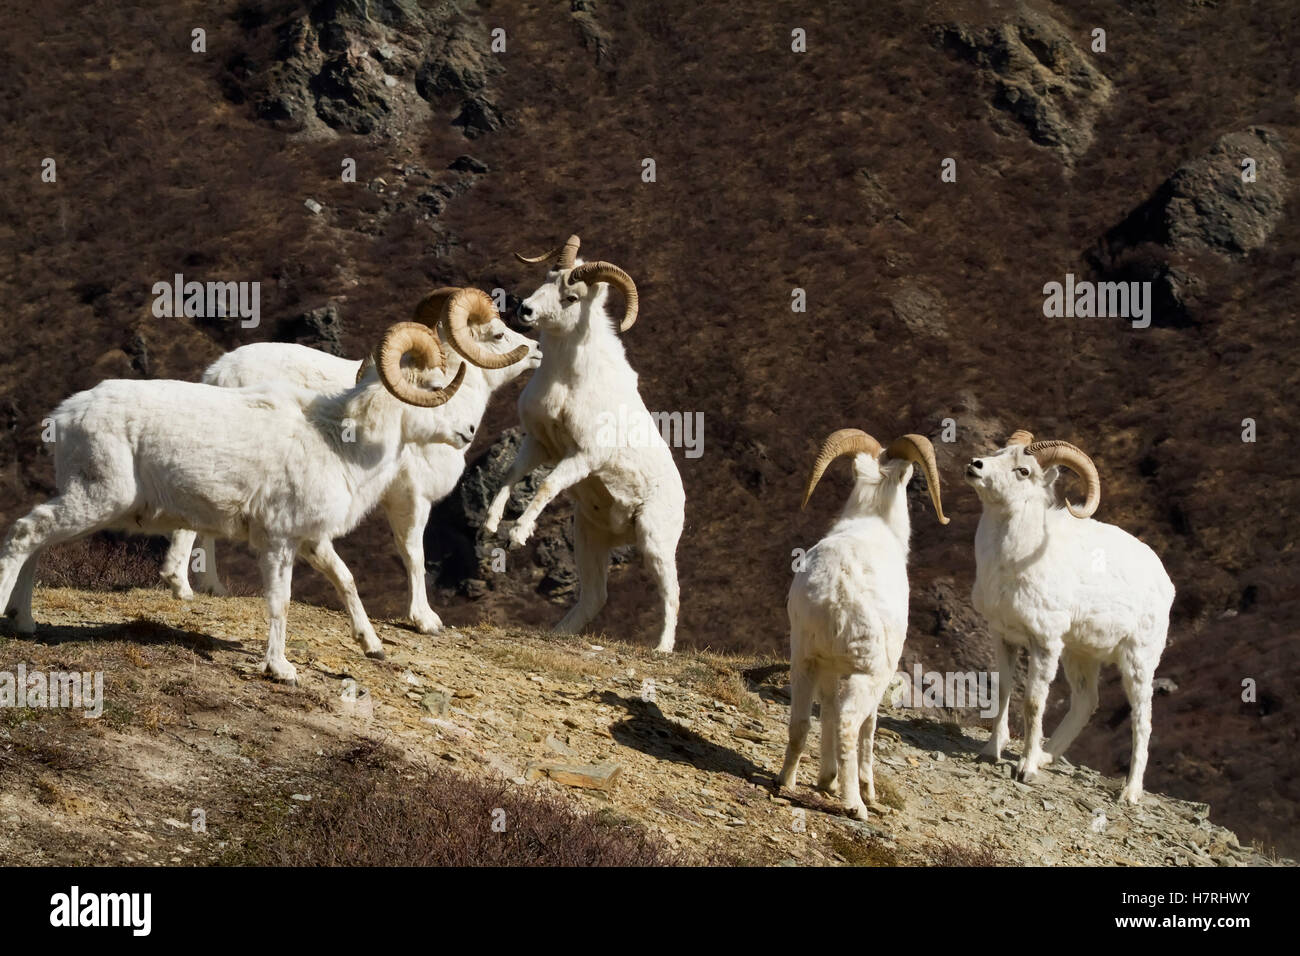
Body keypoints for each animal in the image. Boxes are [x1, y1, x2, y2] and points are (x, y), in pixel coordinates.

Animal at [0, 303, 488, 684]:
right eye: (434, 386)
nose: (468, 431)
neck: (340, 442)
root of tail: (64, 415)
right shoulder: (278, 541)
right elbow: (280, 601)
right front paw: (281, 669)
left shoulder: (312, 541)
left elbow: (345, 579)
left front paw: (372, 646)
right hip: (98, 498)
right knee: (25, 535)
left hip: (84, 500)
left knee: (36, 542)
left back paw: (25, 622)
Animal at [160, 287, 540, 634]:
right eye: (499, 333)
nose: (536, 349)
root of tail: (217, 374)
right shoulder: (411, 497)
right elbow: (414, 555)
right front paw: (425, 620)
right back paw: (184, 587)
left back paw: (212, 588)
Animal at [482, 235, 685, 652]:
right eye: (547, 278)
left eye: (572, 297)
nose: (525, 309)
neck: (567, 381)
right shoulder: (538, 444)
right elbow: (511, 476)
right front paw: (492, 525)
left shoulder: (582, 458)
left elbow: (546, 486)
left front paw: (518, 537)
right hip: (589, 539)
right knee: (594, 598)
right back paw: (557, 634)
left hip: (654, 542)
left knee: (671, 594)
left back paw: (662, 648)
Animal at [776, 428, 948, 820]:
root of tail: (834, 593)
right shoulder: (883, 671)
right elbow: (869, 724)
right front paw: (865, 790)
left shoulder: (828, 668)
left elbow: (825, 709)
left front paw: (826, 779)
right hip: (867, 674)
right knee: (850, 722)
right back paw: (855, 804)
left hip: (804, 659)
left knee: (801, 722)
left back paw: (785, 782)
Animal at [965, 429, 1175, 803]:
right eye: (998, 453)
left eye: (1024, 471)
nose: (975, 465)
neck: (1009, 564)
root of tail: (1165, 580)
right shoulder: (1003, 636)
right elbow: (1002, 692)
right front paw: (991, 752)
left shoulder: (1045, 642)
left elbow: (1034, 702)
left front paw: (1025, 769)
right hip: (1081, 654)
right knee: (1085, 702)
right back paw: (1047, 756)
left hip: (1137, 660)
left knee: (1142, 718)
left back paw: (1129, 793)